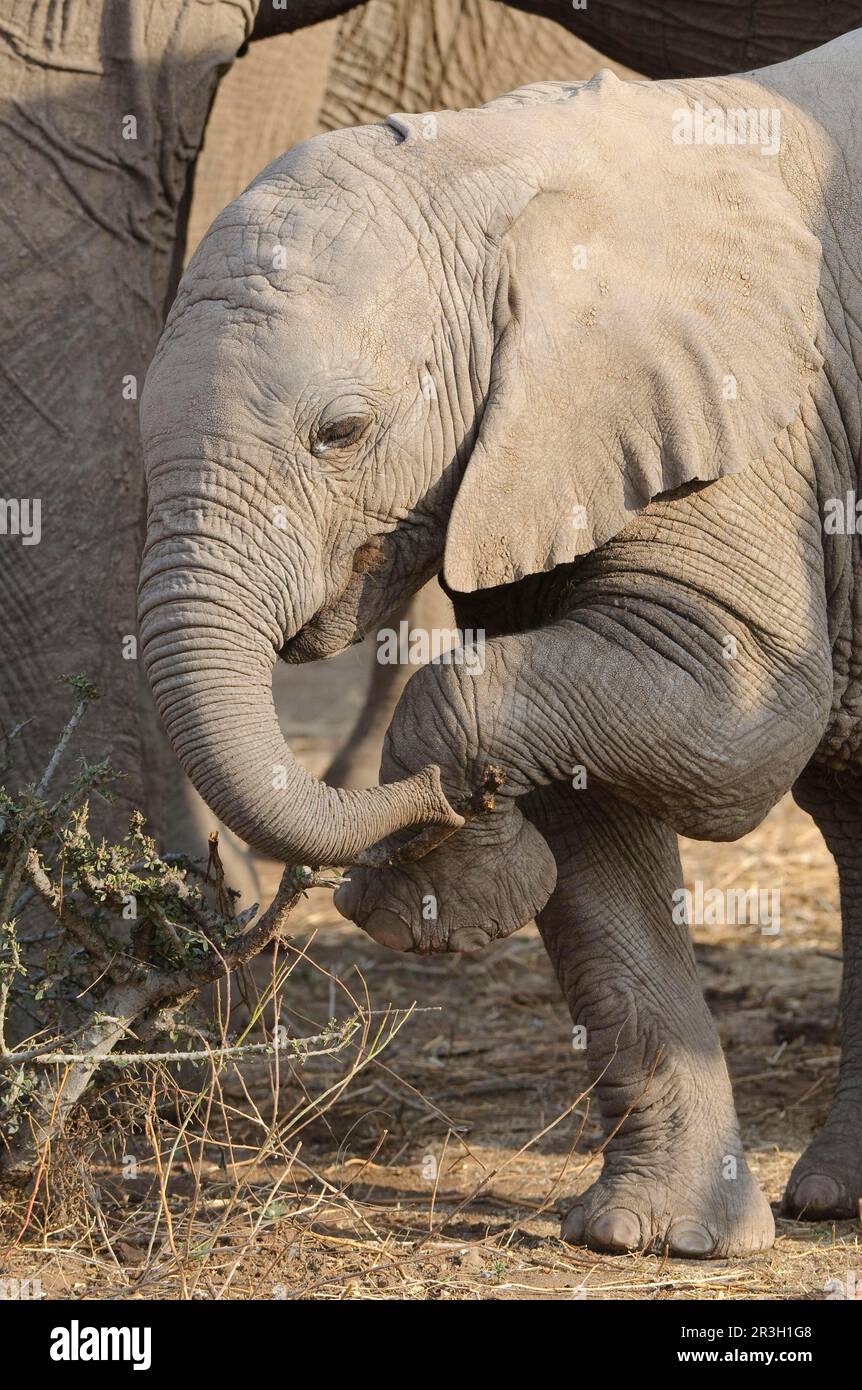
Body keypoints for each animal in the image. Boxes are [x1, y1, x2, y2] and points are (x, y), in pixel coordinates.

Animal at [138, 28, 862, 1258]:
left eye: (342, 433)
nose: (446, 811)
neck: (484, 165)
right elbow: (592, 801)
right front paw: (652, 1239)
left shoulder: (748, 416)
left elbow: (734, 735)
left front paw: (437, 878)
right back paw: (836, 1198)